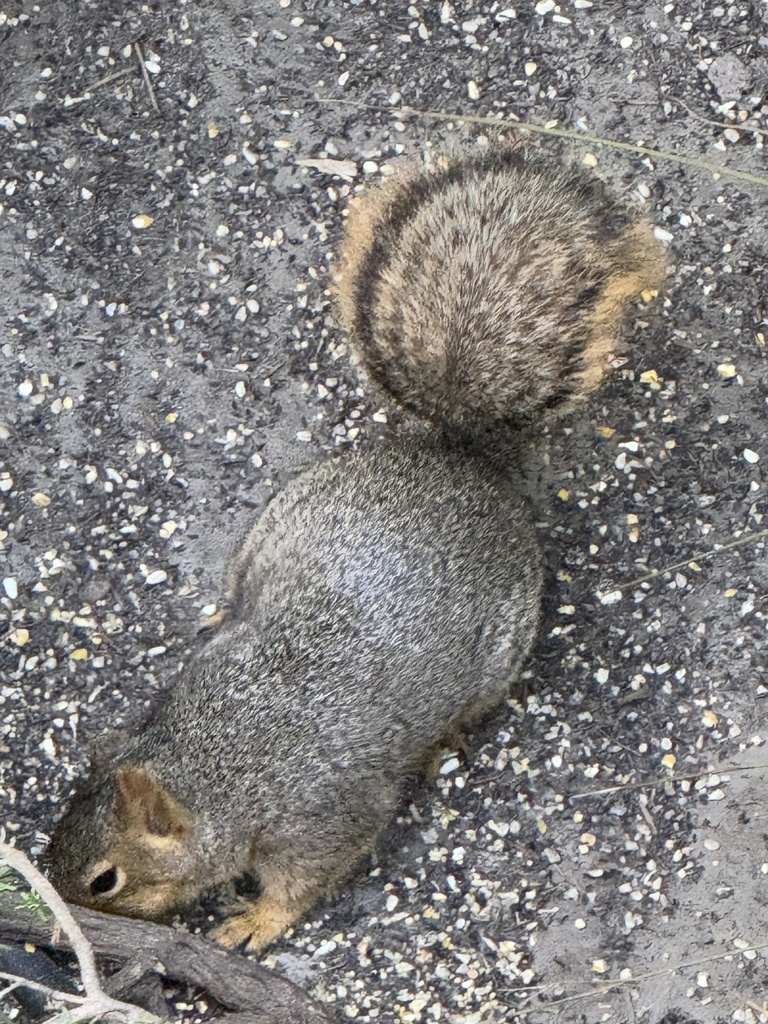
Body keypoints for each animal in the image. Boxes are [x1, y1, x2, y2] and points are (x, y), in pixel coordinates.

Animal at [48, 149, 666, 952]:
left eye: (105, 881)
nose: (58, 916)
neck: (217, 757)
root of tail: (460, 458)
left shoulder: (321, 817)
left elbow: (307, 878)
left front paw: (254, 922)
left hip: (501, 653)